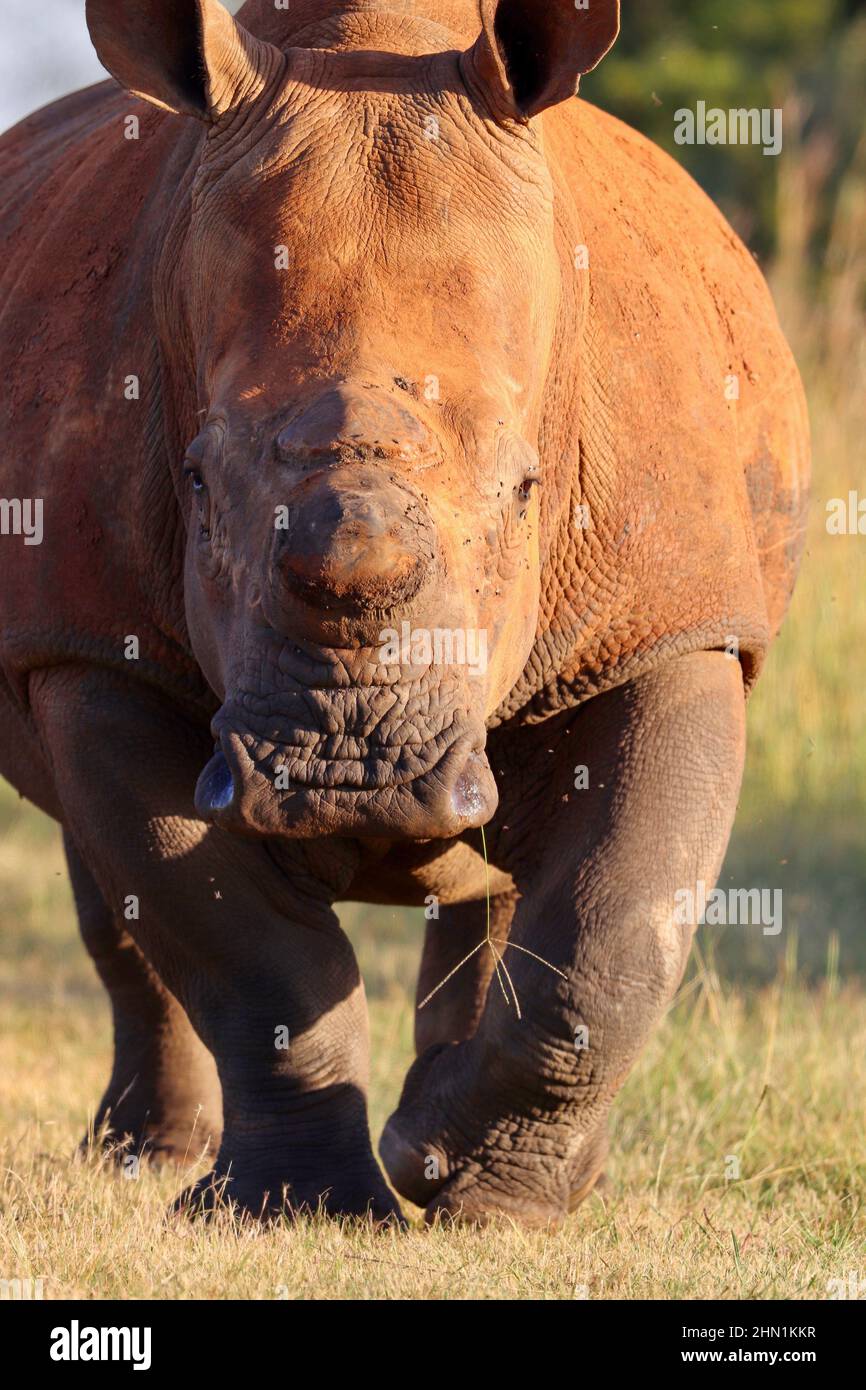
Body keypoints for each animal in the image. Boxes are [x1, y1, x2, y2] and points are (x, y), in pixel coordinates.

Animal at [0, 0, 808, 1226]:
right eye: (196, 483)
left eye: (527, 490)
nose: (350, 770)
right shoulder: (86, 639)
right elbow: (248, 954)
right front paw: (294, 1208)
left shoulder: (667, 623)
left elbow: (615, 928)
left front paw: (484, 1193)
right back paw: (149, 1159)